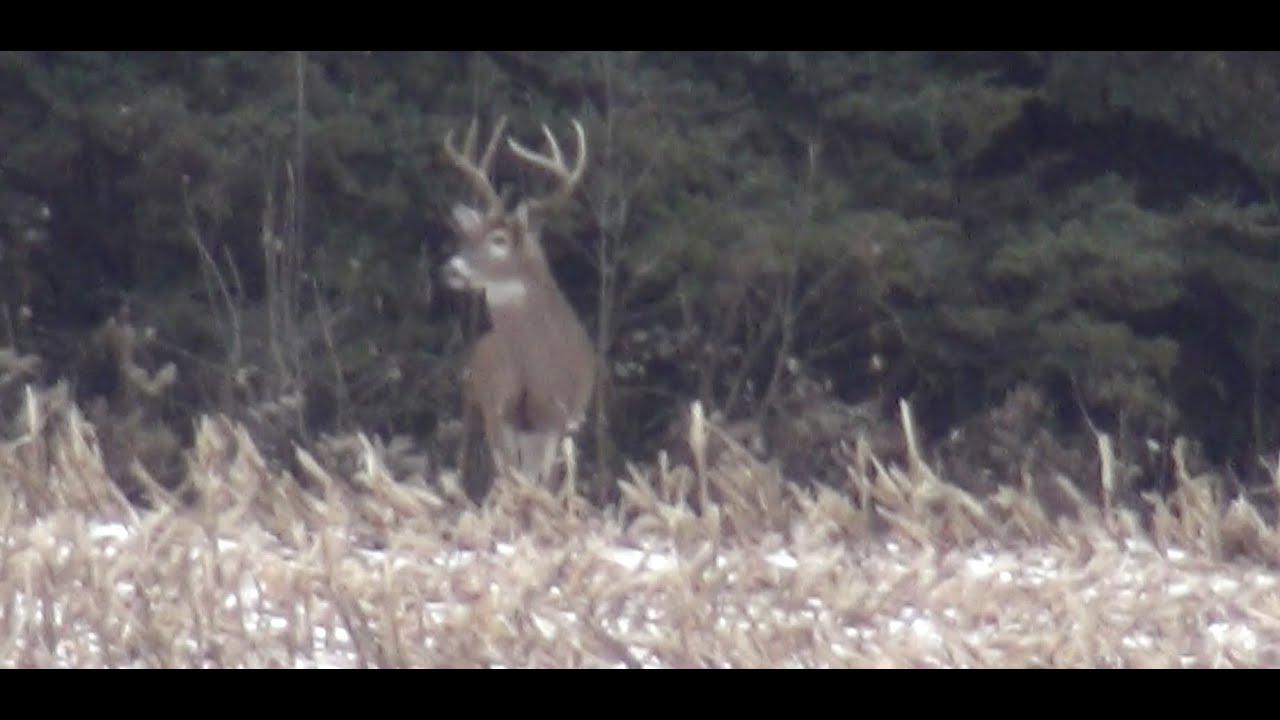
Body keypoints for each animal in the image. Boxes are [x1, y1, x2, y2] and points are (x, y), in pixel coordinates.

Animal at [439, 115, 598, 489]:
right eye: (467, 236)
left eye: (499, 240)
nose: (451, 268)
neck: (537, 370)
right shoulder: (500, 411)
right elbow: (513, 480)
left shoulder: (557, 420)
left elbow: (540, 485)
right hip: (476, 400)